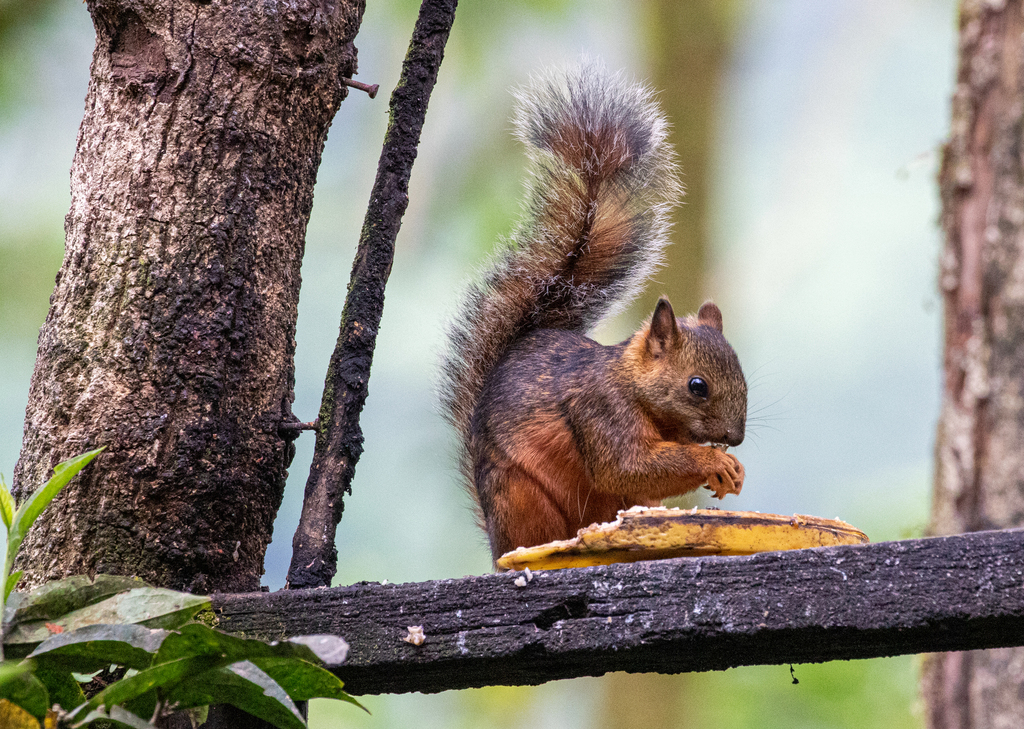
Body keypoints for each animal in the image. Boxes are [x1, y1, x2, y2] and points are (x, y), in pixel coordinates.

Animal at [440, 64, 748, 562]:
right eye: (697, 386)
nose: (735, 438)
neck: (636, 390)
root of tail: (495, 542)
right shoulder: (600, 411)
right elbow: (628, 465)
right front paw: (715, 460)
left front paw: (730, 469)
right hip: (522, 499)